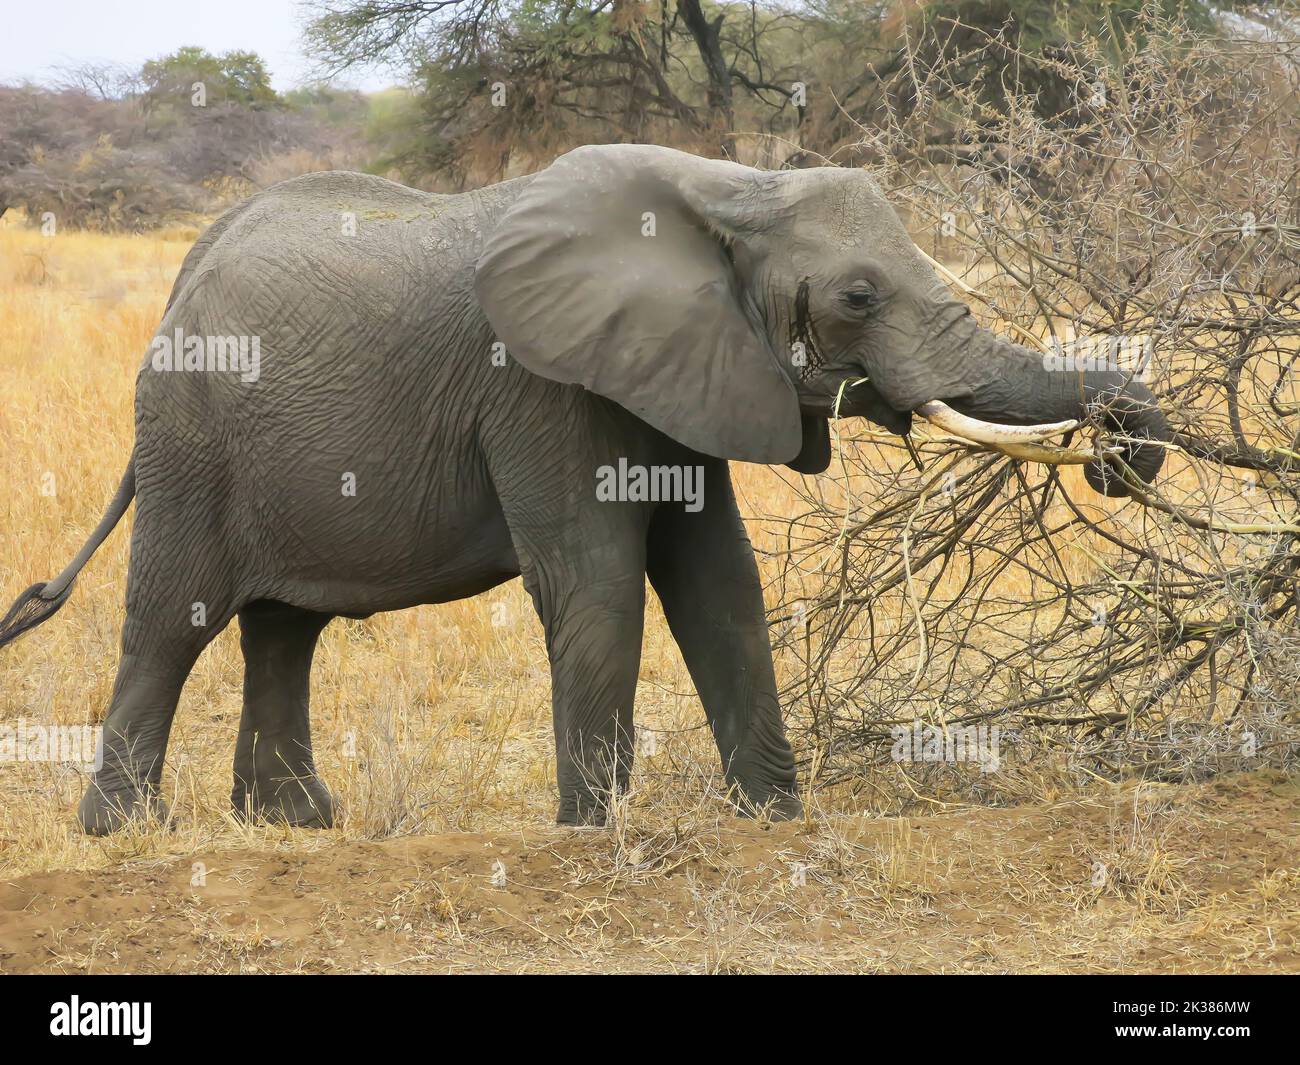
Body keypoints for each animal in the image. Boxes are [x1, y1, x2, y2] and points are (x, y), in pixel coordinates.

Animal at [0, 143, 1170, 834]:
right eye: (855, 297)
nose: (1119, 456)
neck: (728, 188)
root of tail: (182, 280)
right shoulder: (541, 384)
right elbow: (596, 582)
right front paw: (595, 837)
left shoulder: (687, 369)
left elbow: (719, 585)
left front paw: (773, 822)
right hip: (188, 434)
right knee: (174, 615)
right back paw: (126, 832)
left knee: (285, 628)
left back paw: (295, 825)